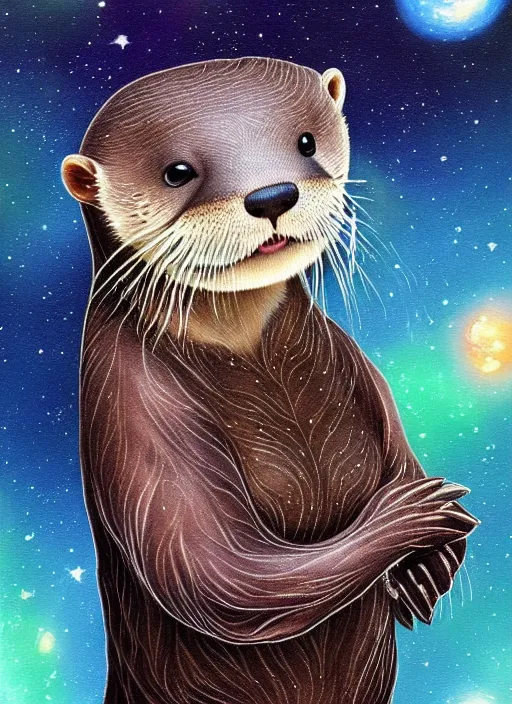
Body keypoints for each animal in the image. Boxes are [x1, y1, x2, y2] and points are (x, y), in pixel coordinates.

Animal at [62, 57, 478, 704]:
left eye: (306, 141)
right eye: (176, 172)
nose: (272, 194)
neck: (256, 360)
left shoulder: (356, 361)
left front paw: (426, 562)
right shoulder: (130, 402)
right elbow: (216, 574)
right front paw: (418, 514)